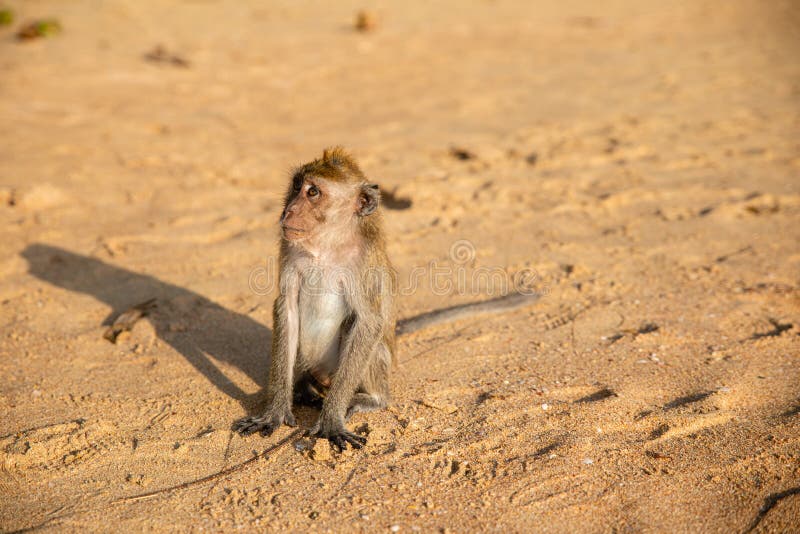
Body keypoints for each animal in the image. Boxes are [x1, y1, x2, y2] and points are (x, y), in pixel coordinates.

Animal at [234, 147, 540, 451]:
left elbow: (368, 321)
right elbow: (286, 309)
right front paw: (275, 411)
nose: (289, 210)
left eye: (313, 192)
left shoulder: (364, 264)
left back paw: (372, 398)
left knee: (361, 333)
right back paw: (303, 389)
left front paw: (331, 419)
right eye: (297, 186)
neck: (327, 244)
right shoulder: (290, 248)